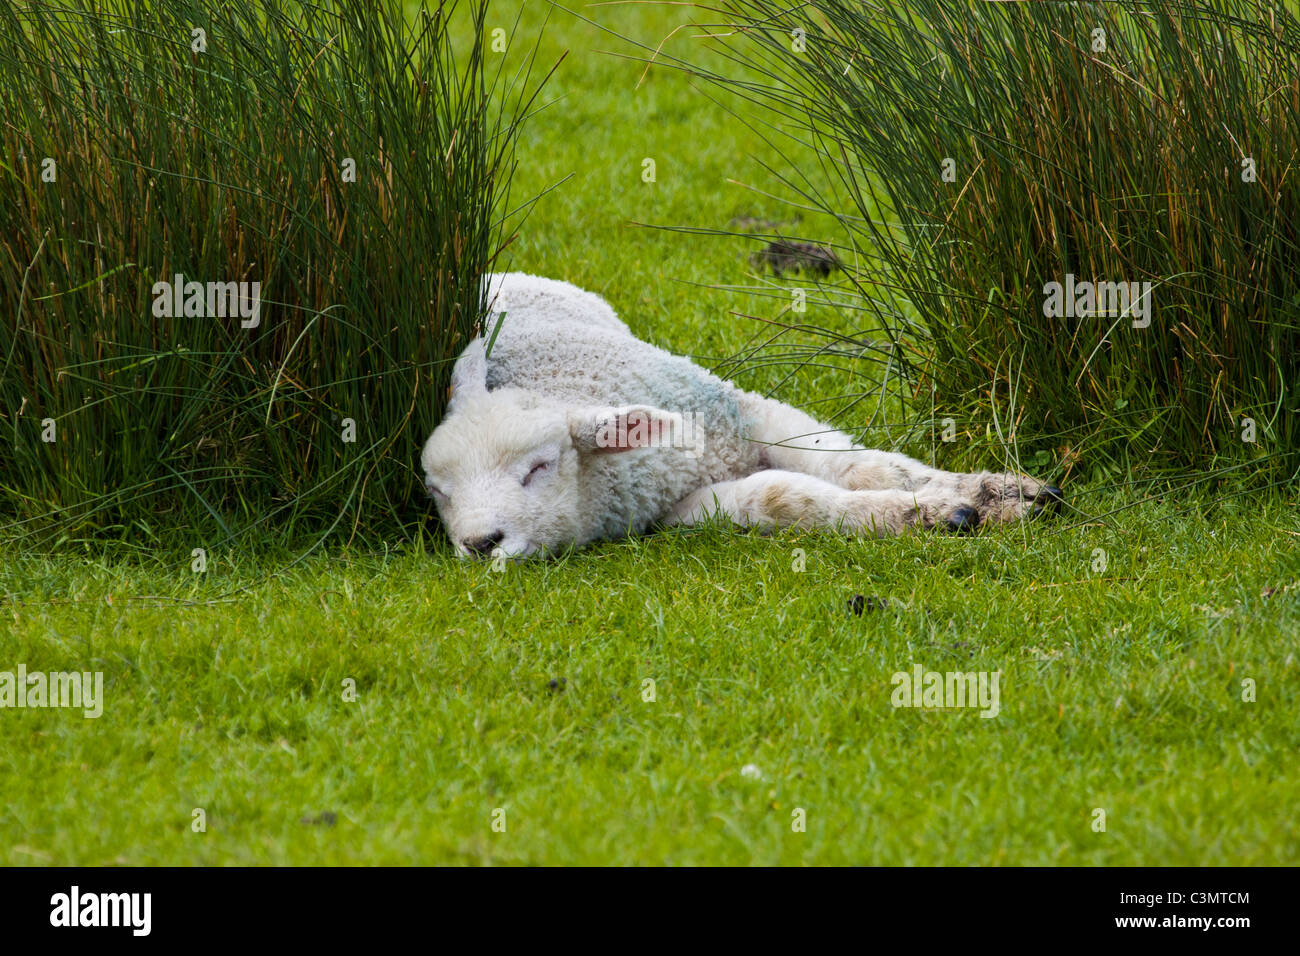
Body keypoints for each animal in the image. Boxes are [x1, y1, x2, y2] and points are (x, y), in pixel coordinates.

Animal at [420, 272, 1062, 559]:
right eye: (437, 492)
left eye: (540, 467)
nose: (479, 543)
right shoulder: (671, 512)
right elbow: (777, 495)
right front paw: (924, 514)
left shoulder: (745, 410)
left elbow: (855, 463)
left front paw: (992, 492)